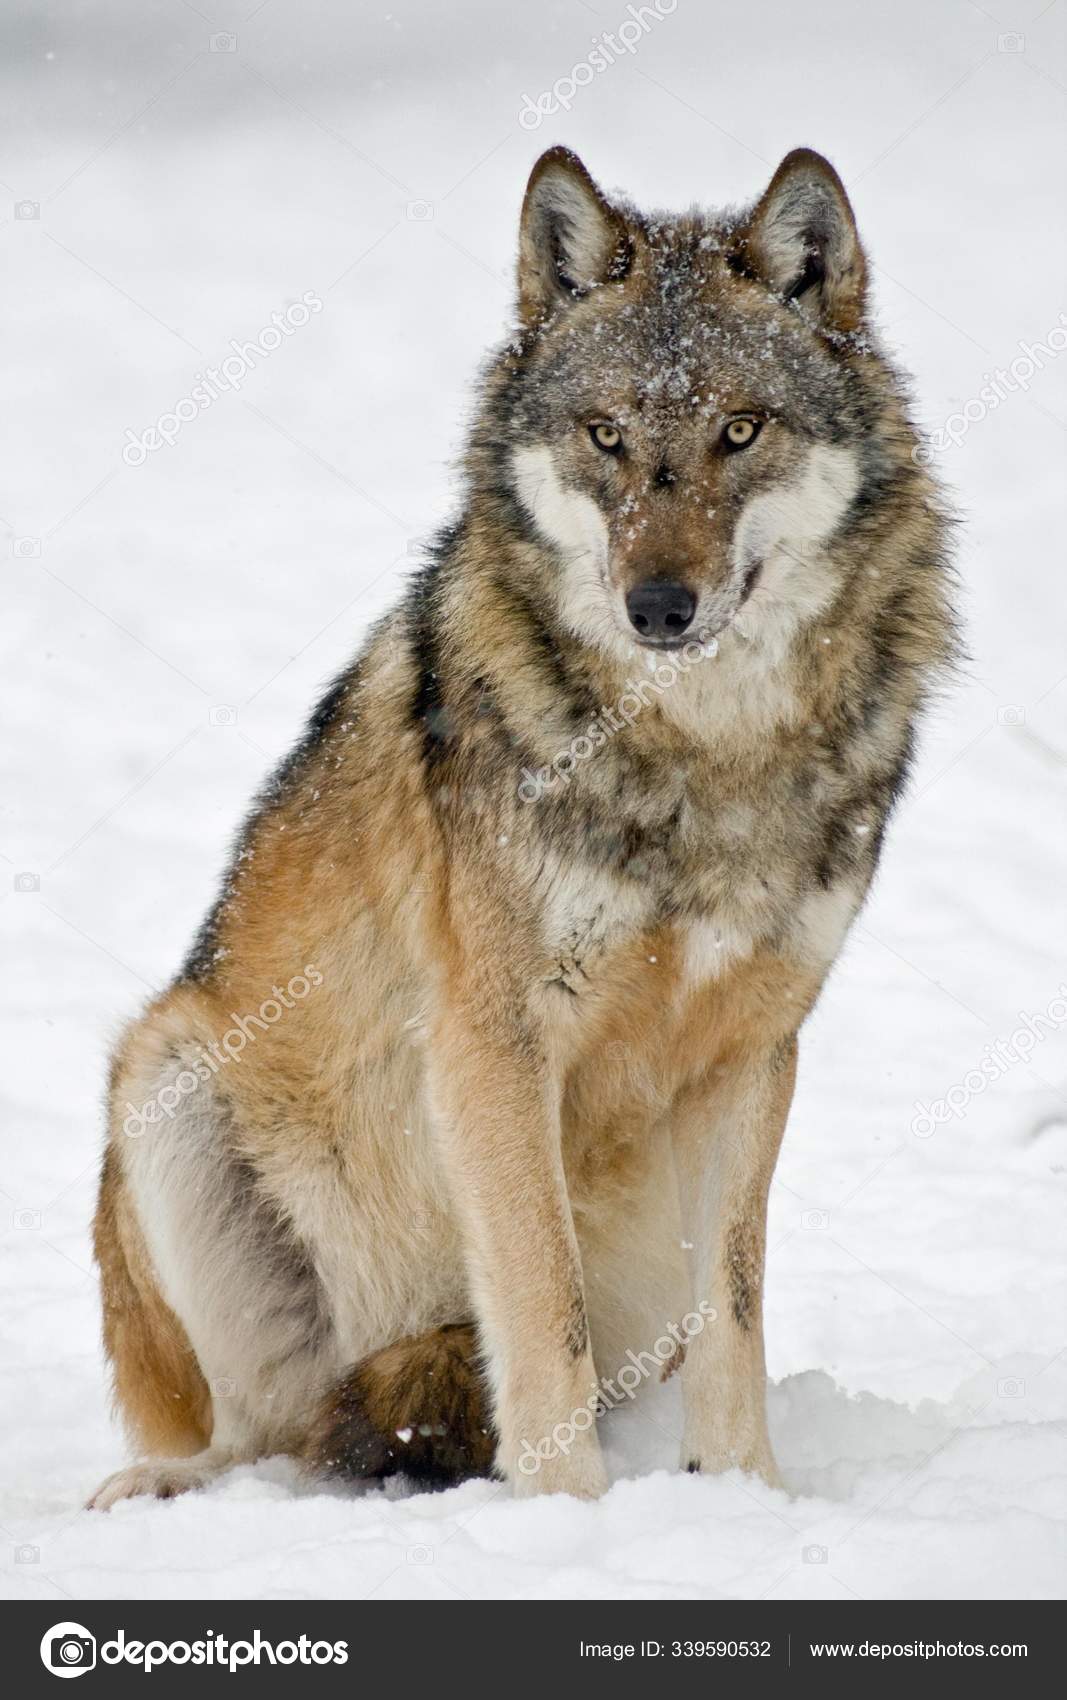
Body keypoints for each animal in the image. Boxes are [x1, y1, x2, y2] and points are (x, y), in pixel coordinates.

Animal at [89, 146, 954, 1508]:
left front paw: (742, 1495)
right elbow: (543, 1310)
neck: (700, 755)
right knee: (264, 1428)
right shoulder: (492, 1044)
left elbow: (736, 1315)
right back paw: (161, 1487)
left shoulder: (751, 1052)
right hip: (164, 1073)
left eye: (739, 429)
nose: (659, 605)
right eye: (606, 435)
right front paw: (572, 1520)